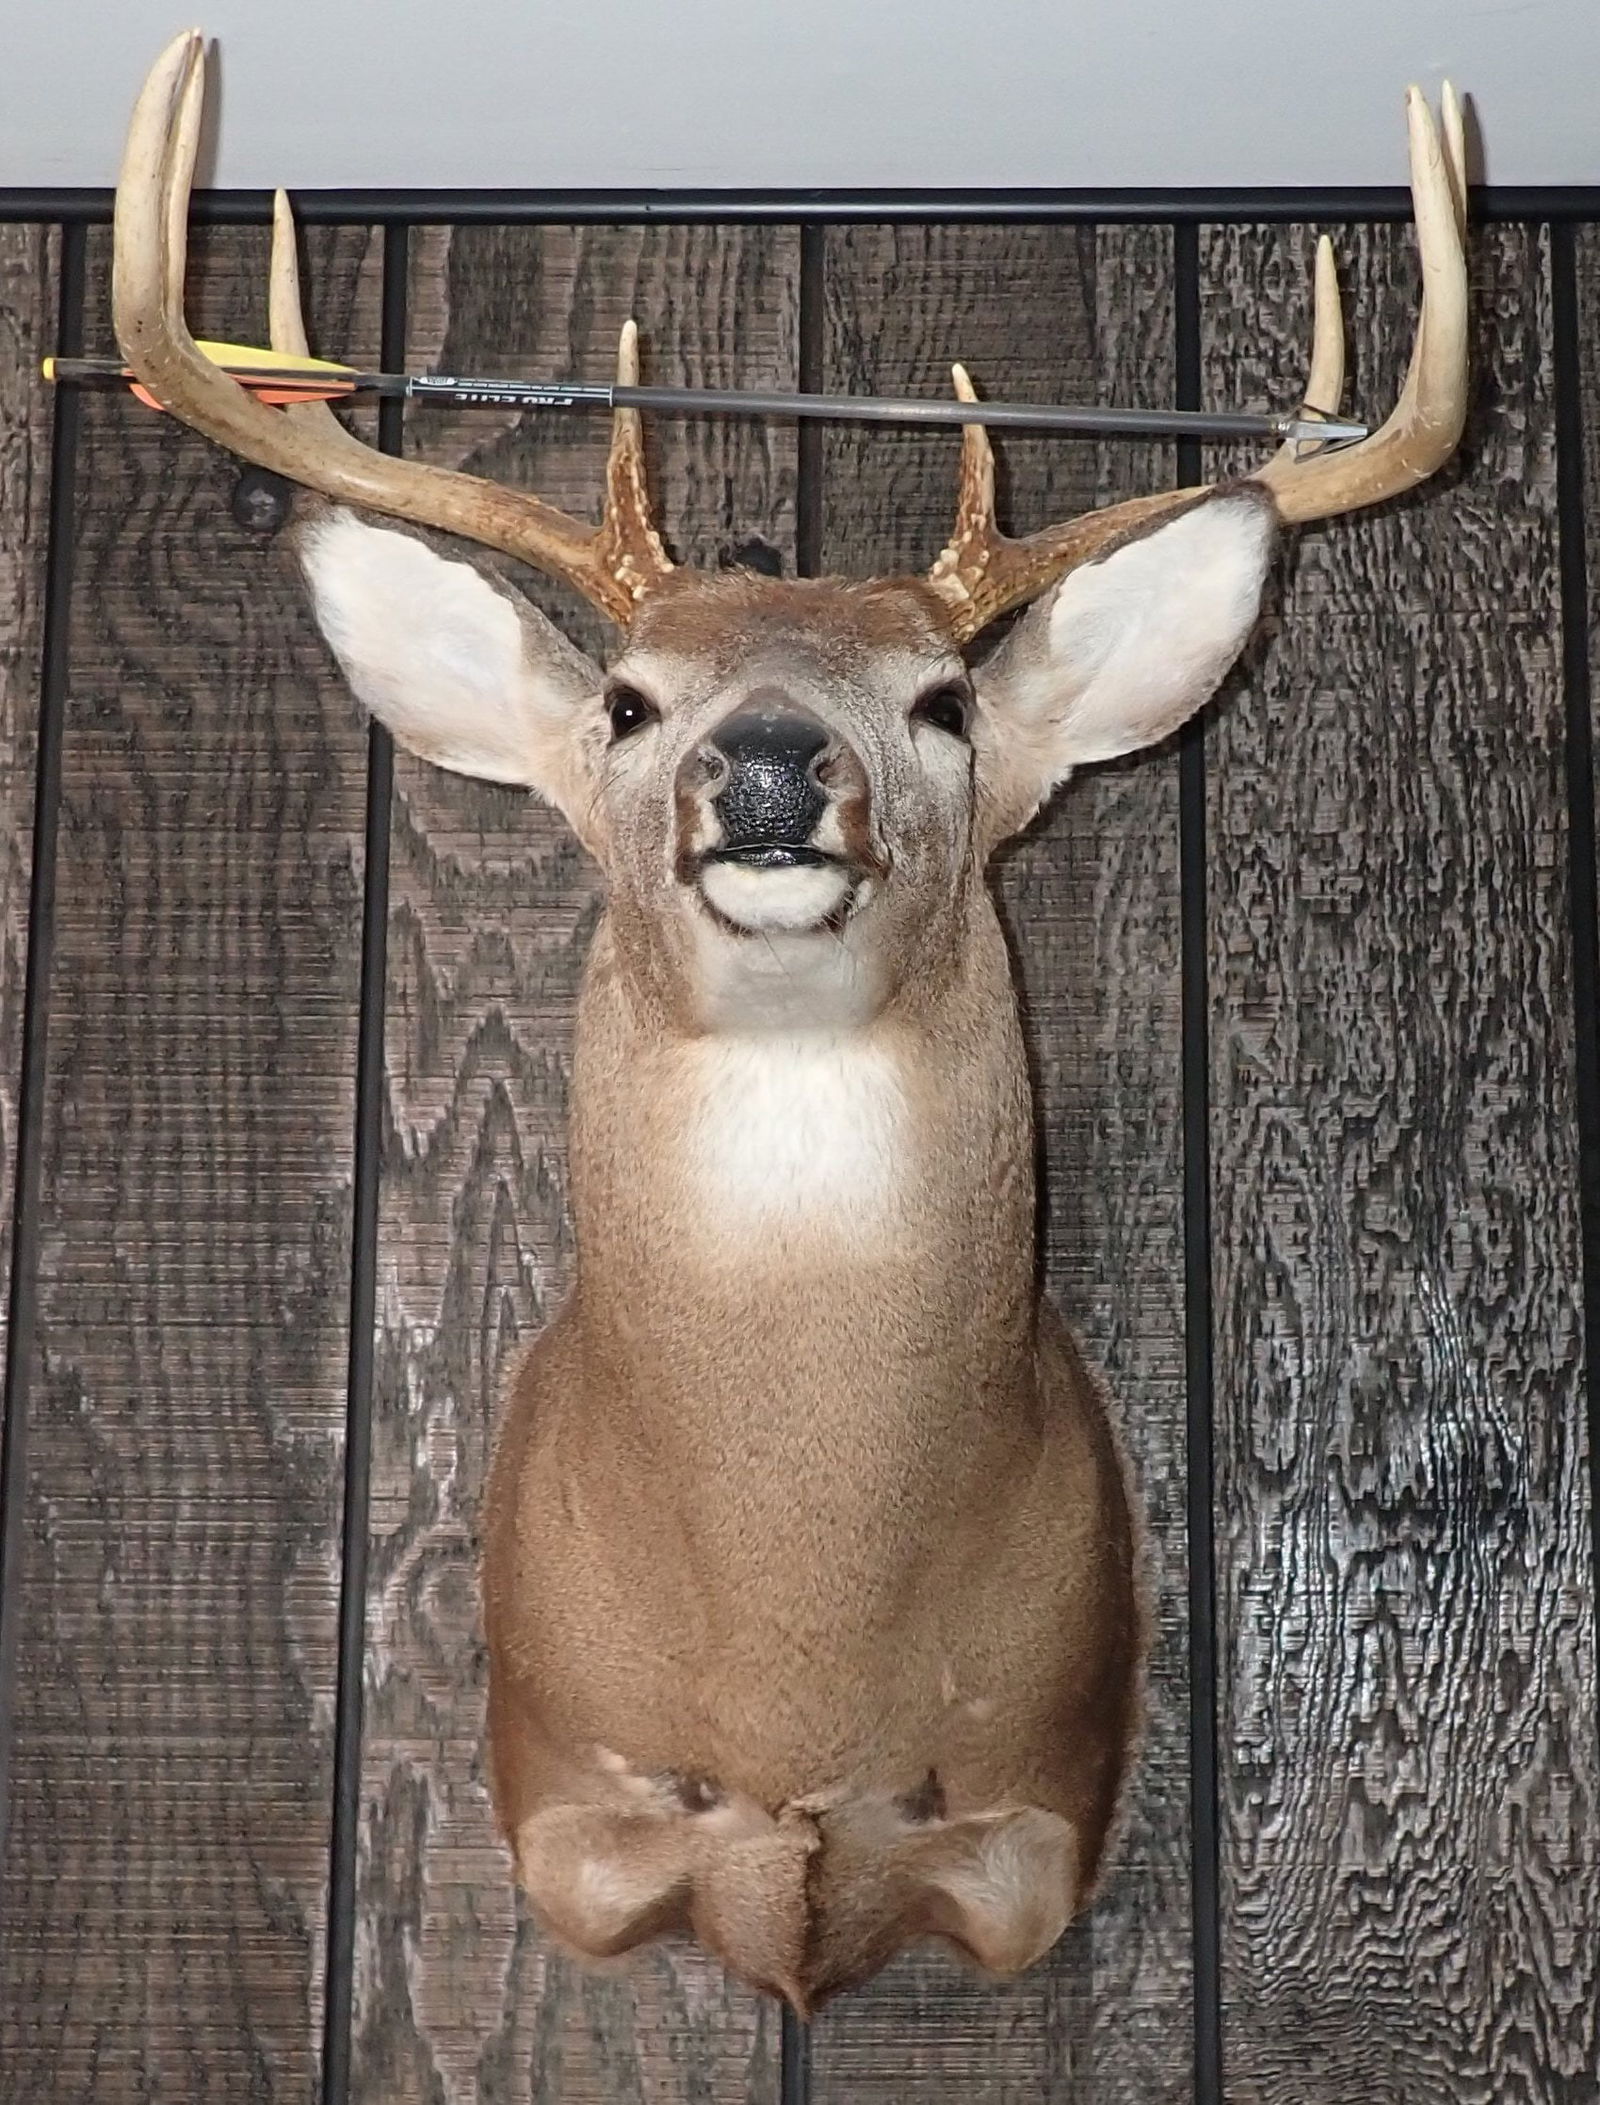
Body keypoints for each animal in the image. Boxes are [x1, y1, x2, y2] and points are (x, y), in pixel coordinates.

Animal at [112, 32, 1468, 2014]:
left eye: (943, 700)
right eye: (623, 699)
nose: (764, 762)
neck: (800, 1671)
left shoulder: (1043, 1805)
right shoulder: (560, 1783)